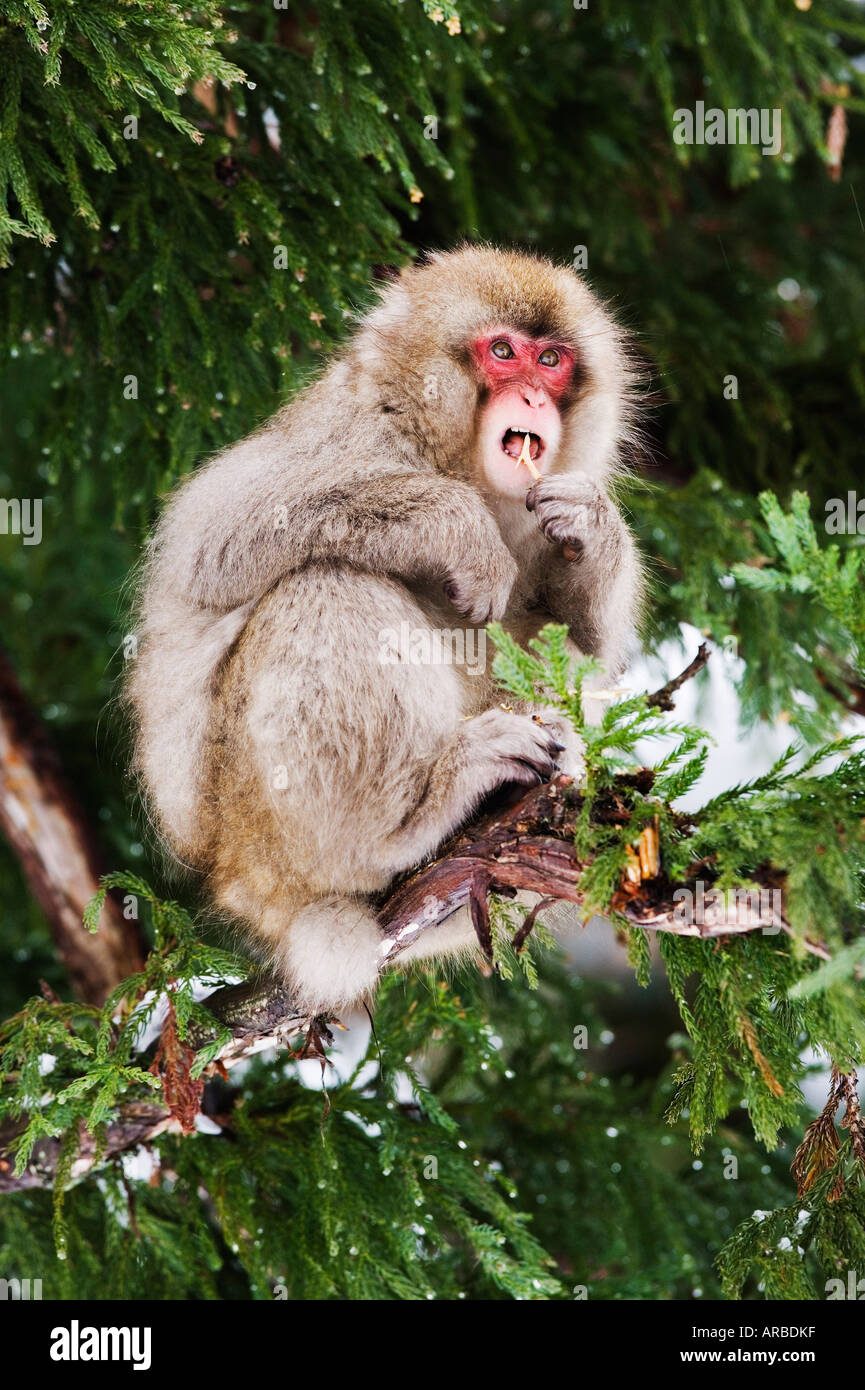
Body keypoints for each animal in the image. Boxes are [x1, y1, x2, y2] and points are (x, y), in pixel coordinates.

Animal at [127, 245, 642, 1016]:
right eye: (502, 352)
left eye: (551, 360)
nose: (532, 399)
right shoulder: (356, 430)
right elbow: (212, 543)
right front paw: (455, 526)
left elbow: (575, 658)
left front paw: (595, 529)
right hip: (257, 827)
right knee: (328, 583)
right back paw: (408, 819)